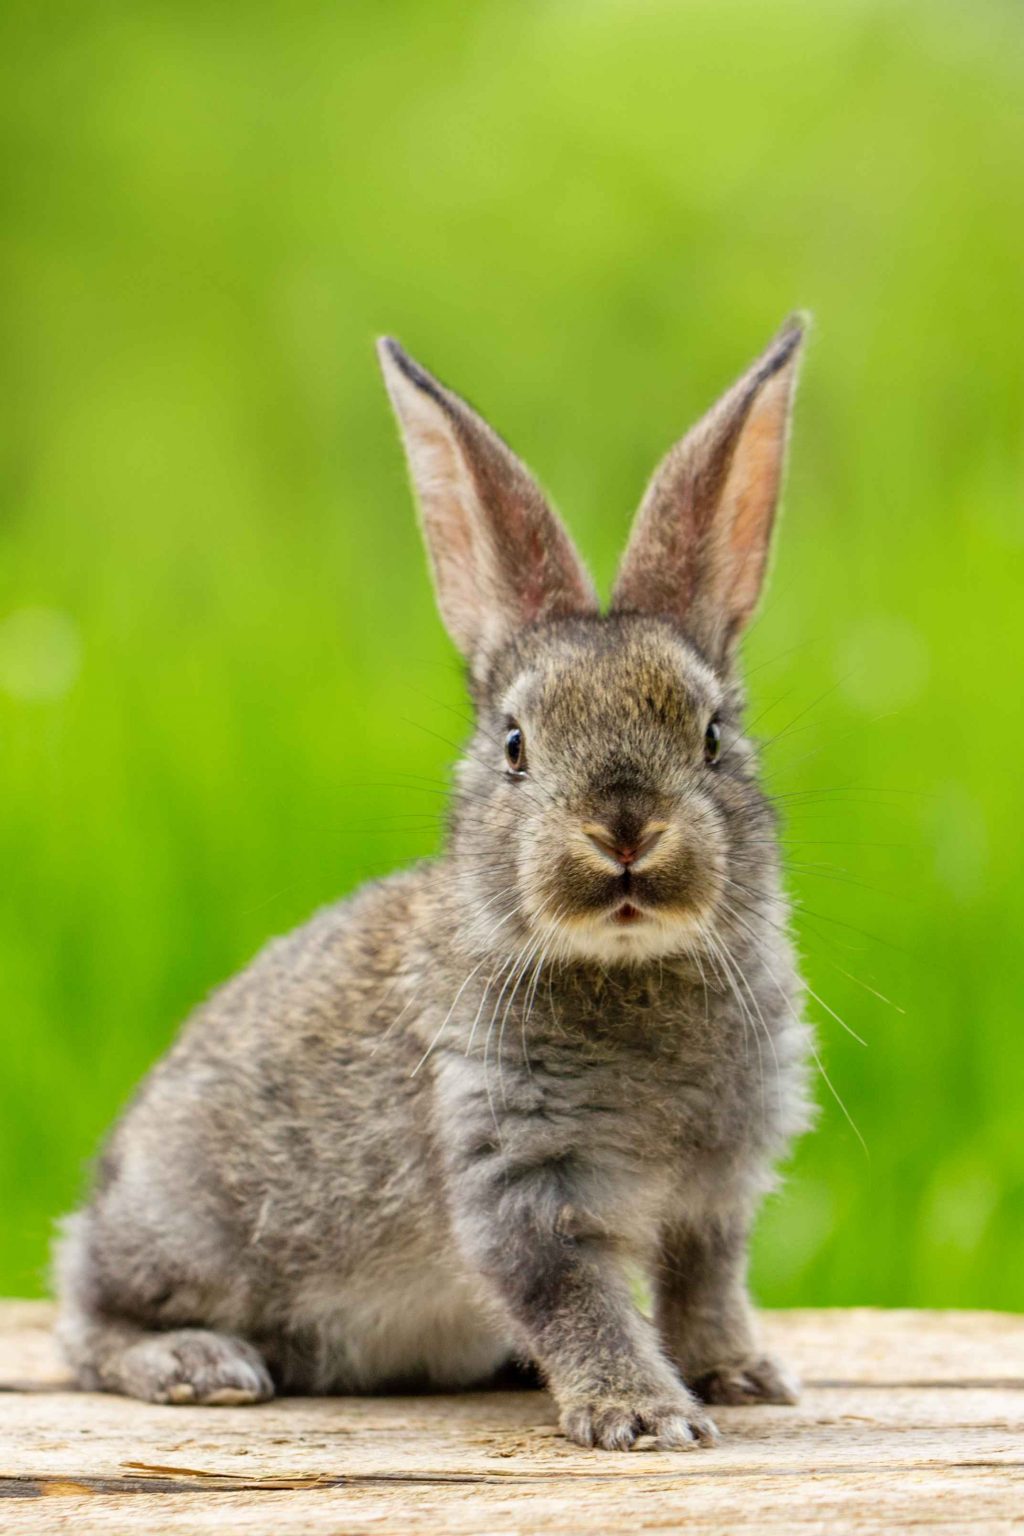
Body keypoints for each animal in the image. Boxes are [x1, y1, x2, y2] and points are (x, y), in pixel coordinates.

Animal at [54, 317, 815, 1451]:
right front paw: (639, 1416)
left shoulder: (714, 1196)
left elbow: (702, 1289)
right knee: (87, 1321)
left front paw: (739, 1377)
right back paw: (196, 1364)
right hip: (183, 1231)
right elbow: (575, 1297)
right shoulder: (515, 1171)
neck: (626, 968)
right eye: (515, 745)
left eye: (713, 735)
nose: (624, 831)